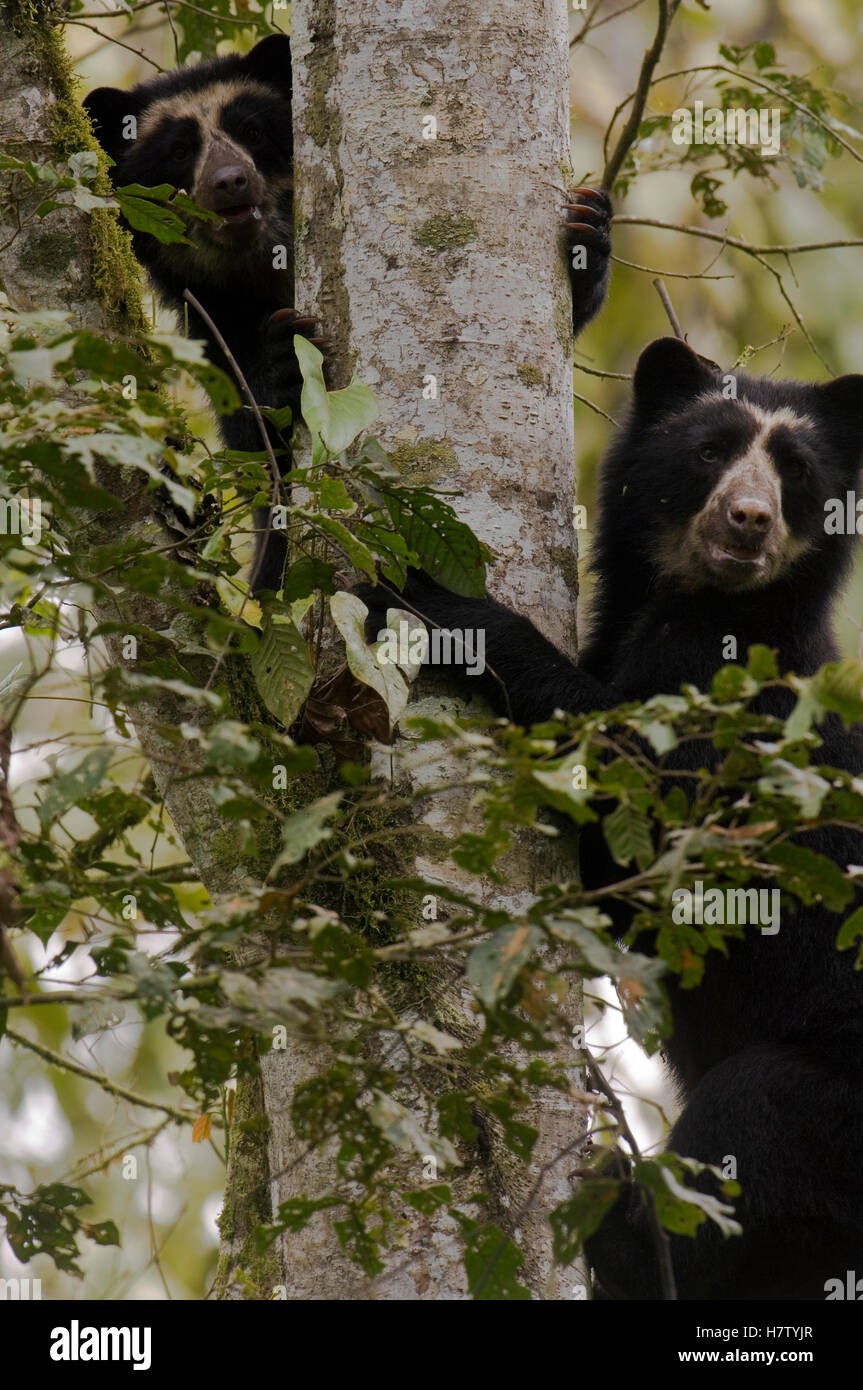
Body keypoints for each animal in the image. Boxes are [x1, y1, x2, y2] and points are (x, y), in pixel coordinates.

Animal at [84, 35, 612, 593]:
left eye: (252, 131)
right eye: (180, 150)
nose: (230, 181)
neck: (265, 266)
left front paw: (588, 232)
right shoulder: (214, 320)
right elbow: (254, 450)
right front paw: (284, 361)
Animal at [359, 336, 863, 1299]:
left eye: (795, 471)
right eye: (707, 450)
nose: (748, 521)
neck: (707, 603)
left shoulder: (735, 714)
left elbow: (637, 817)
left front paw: (426, 599)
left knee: (752, 1125)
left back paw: (616, 1218)